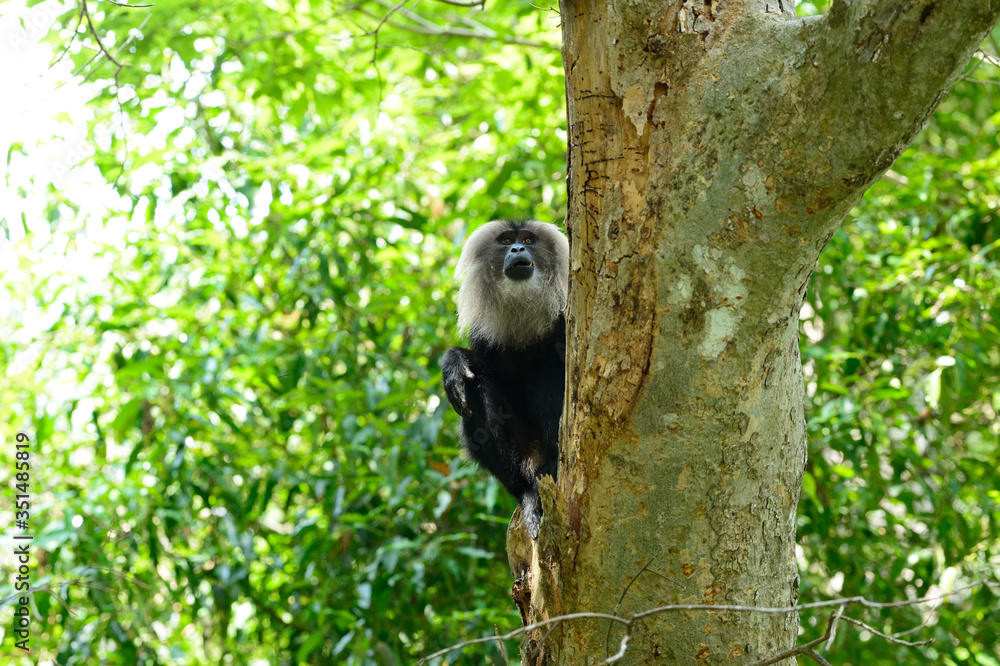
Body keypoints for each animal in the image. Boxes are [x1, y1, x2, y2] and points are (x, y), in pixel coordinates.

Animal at [441, 220, 569, 539]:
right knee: (474, 386)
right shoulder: (483, 335)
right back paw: (527, 494)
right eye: (507, 240)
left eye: (528, 240)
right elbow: (477, 367)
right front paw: (454, 363)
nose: (518, 249)